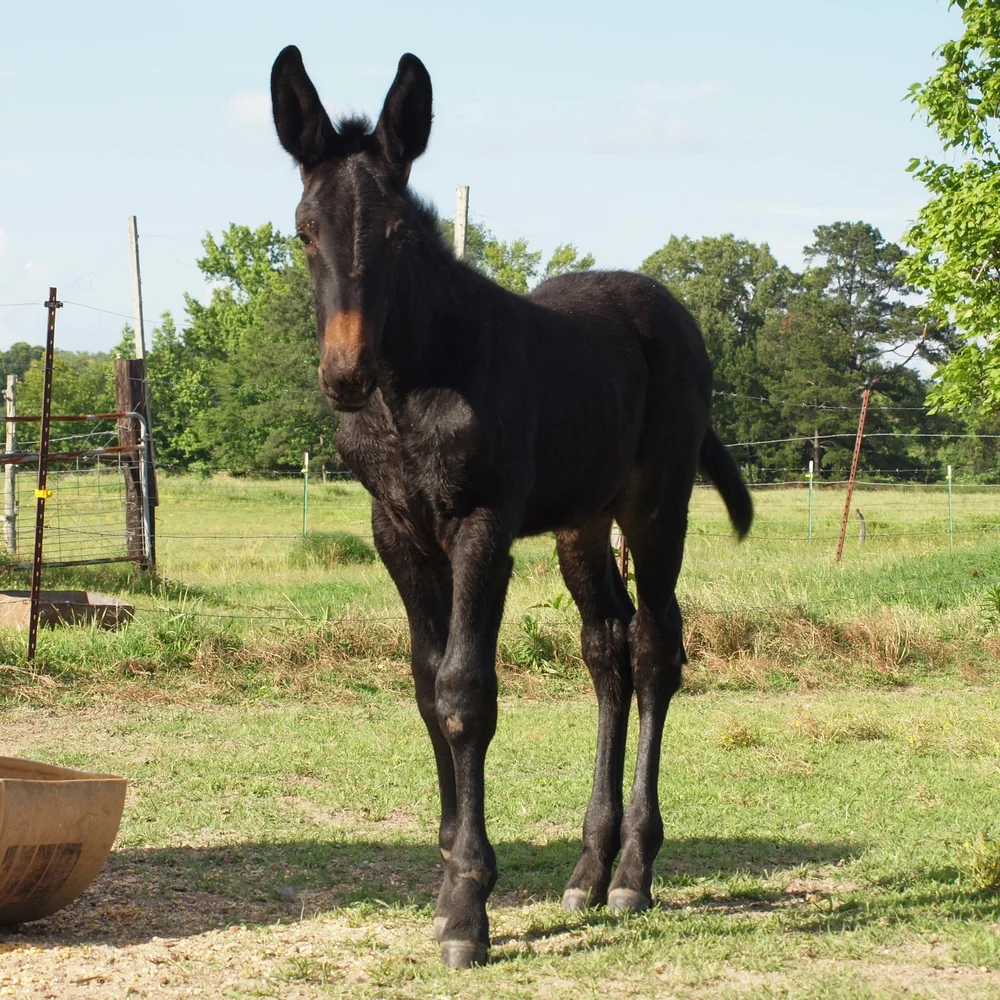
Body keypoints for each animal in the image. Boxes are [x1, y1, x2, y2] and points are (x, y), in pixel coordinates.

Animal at [270, 46, 752, 968]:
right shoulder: (398, 531)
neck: (413, 385)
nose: (344, 376)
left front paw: (468, 907)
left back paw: (634, 872)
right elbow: (428, 688)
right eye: (305, 230)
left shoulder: (481, 526)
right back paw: (589, 869)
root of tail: (670, 310)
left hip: (655, 505)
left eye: (396, 234)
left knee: (656, 648)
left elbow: (468, 692)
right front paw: (447, 882)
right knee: (607, 650)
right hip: (581, 523)